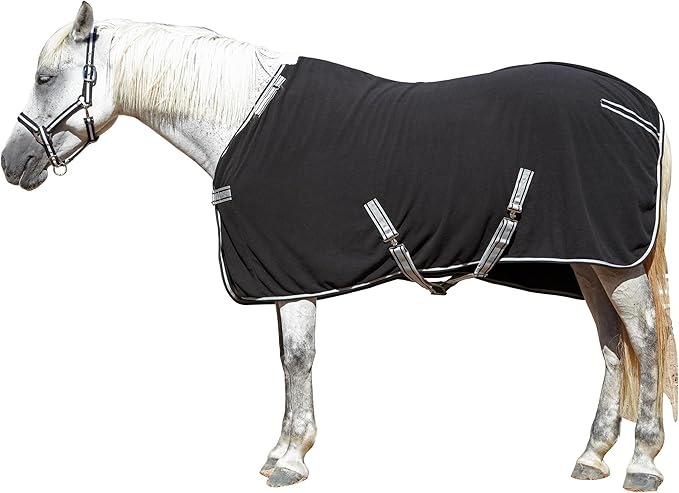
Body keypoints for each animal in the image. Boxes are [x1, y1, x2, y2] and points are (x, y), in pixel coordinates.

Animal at [1, 2, 676, 490]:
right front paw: (285, 447)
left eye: (43, 76)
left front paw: (289, 459)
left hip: (614, 264)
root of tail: (639, 108)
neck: (242, 117)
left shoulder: (292, 276)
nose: (13, 164)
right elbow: (286, 358)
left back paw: (642, 464)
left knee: (643, 338)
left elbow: (298, 358)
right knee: (612, 341)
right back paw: (591, 455)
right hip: (589, 261)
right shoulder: (284, 278)